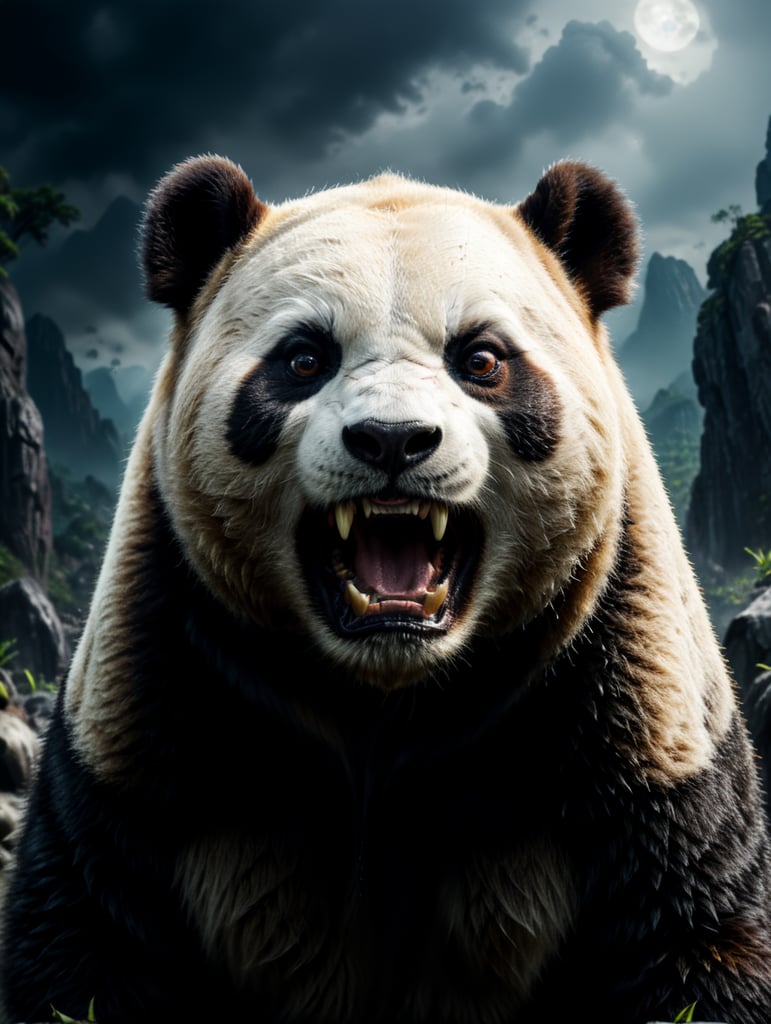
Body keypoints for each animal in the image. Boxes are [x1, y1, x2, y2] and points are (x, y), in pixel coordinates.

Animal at [1, 154, 771, 1023]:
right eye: (304, 358)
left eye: (481, 359)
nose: (393, 441)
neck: (385, 690)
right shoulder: (155, 697)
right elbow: (88, 937)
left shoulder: (629, 709)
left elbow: (690, 934)